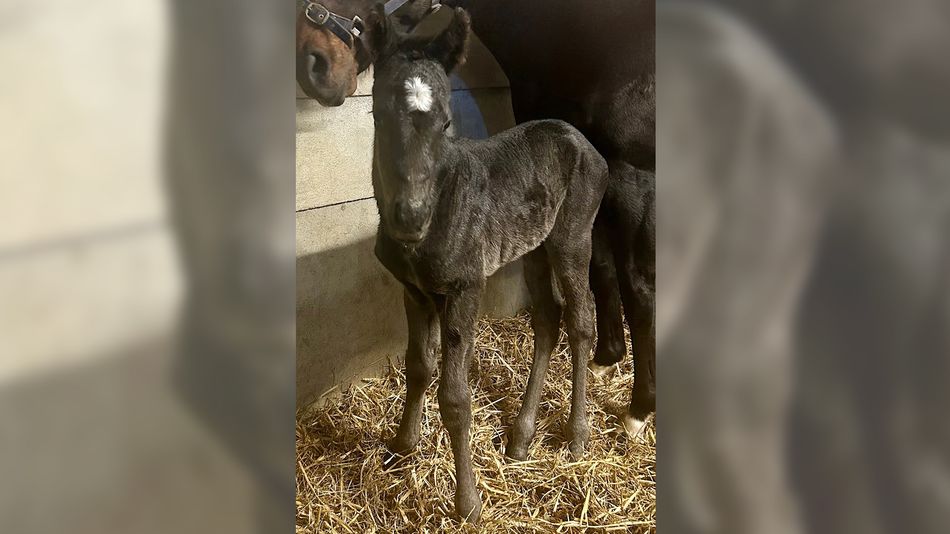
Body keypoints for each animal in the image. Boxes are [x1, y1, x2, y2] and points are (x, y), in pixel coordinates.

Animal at [366, 6, 610, 521]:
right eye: (377, 114)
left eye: (445, 123)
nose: (410, 216)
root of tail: (580, 139)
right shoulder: (414, 291)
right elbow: (418, 366)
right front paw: (402, 446)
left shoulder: (465, 288)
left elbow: (455, 398)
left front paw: (468, 502)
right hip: (534, 247)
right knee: (547, 319)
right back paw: (521, 437)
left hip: (572, 239)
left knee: (581, 321)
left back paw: (576, 435)